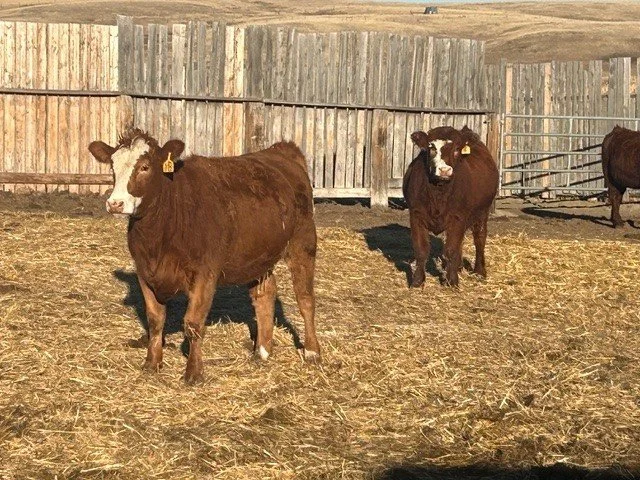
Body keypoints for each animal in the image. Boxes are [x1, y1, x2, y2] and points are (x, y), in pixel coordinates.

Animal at [88, 129, 320, 384]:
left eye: (145, 167)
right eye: (113, 166)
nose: (115, 203)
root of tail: (281, 150)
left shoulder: (205, 273)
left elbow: (193, 323)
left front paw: (193, 372)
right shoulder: (144, 271)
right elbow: (155, 320)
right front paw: (152, 363)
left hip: (303, 241)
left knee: (305, 298)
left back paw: (312, 351)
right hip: (260, 254)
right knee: (264, 294)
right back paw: (262, 350)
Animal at [402, 125, 499, 288]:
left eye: (457, 149)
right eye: (431, 147)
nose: (444, 170)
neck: (439, 192)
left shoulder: (457, 217)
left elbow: (451, 249)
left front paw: (452, 281)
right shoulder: (416, 215)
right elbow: (421, 249)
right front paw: (417, 281)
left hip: (482, 211)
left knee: (479, 238)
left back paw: (479, 271)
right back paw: (459, 267)